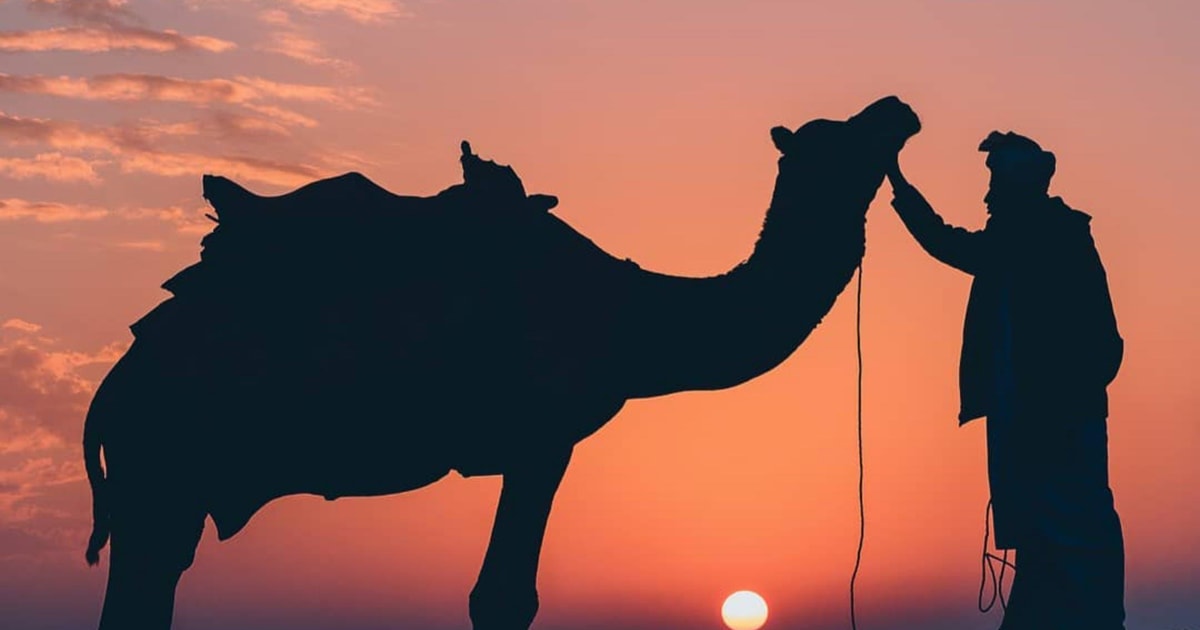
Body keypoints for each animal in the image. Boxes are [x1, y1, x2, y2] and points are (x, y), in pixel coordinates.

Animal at [82, 96, 920, 630]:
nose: (896, 109)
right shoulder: (543, 435)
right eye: (839, 136)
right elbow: (504, 596)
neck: (632, 312)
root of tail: (115, 386)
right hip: (163, 463)